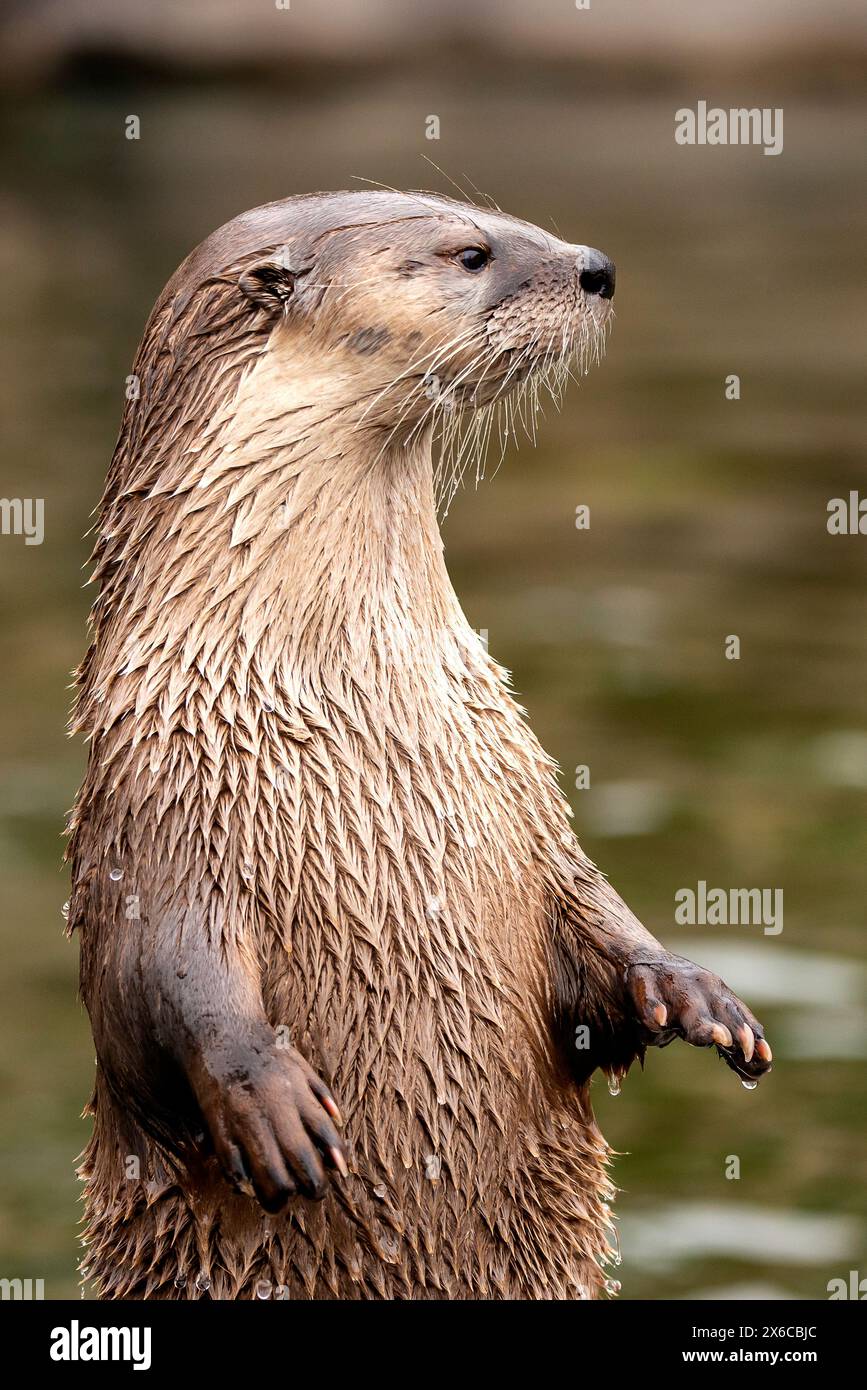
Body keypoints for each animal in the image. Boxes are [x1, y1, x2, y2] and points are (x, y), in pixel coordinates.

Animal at [67, 191, 772, 1300]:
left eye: (504, 215)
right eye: (471, 252)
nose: (597, 267)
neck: (356, 703)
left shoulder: (528, 809)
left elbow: (593, 913)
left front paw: (689, 989)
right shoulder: (153, 815)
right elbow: (159, 986)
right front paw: (269, 1099)